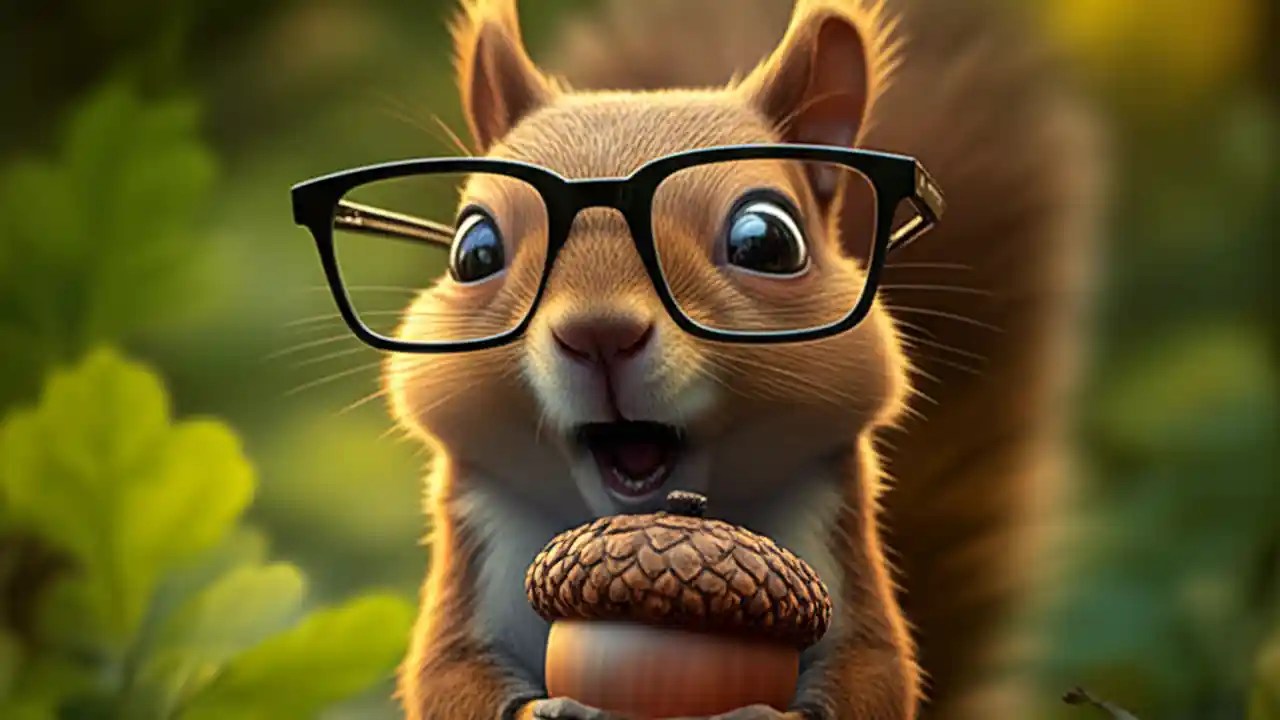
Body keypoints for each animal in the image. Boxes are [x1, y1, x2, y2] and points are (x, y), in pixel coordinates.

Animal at [386, 0, 1103, 719]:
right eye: (473, 251)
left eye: (768, 242)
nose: (599, 333)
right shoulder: (480, 536)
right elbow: (448, 676)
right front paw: (554, 707)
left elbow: (876, 672)